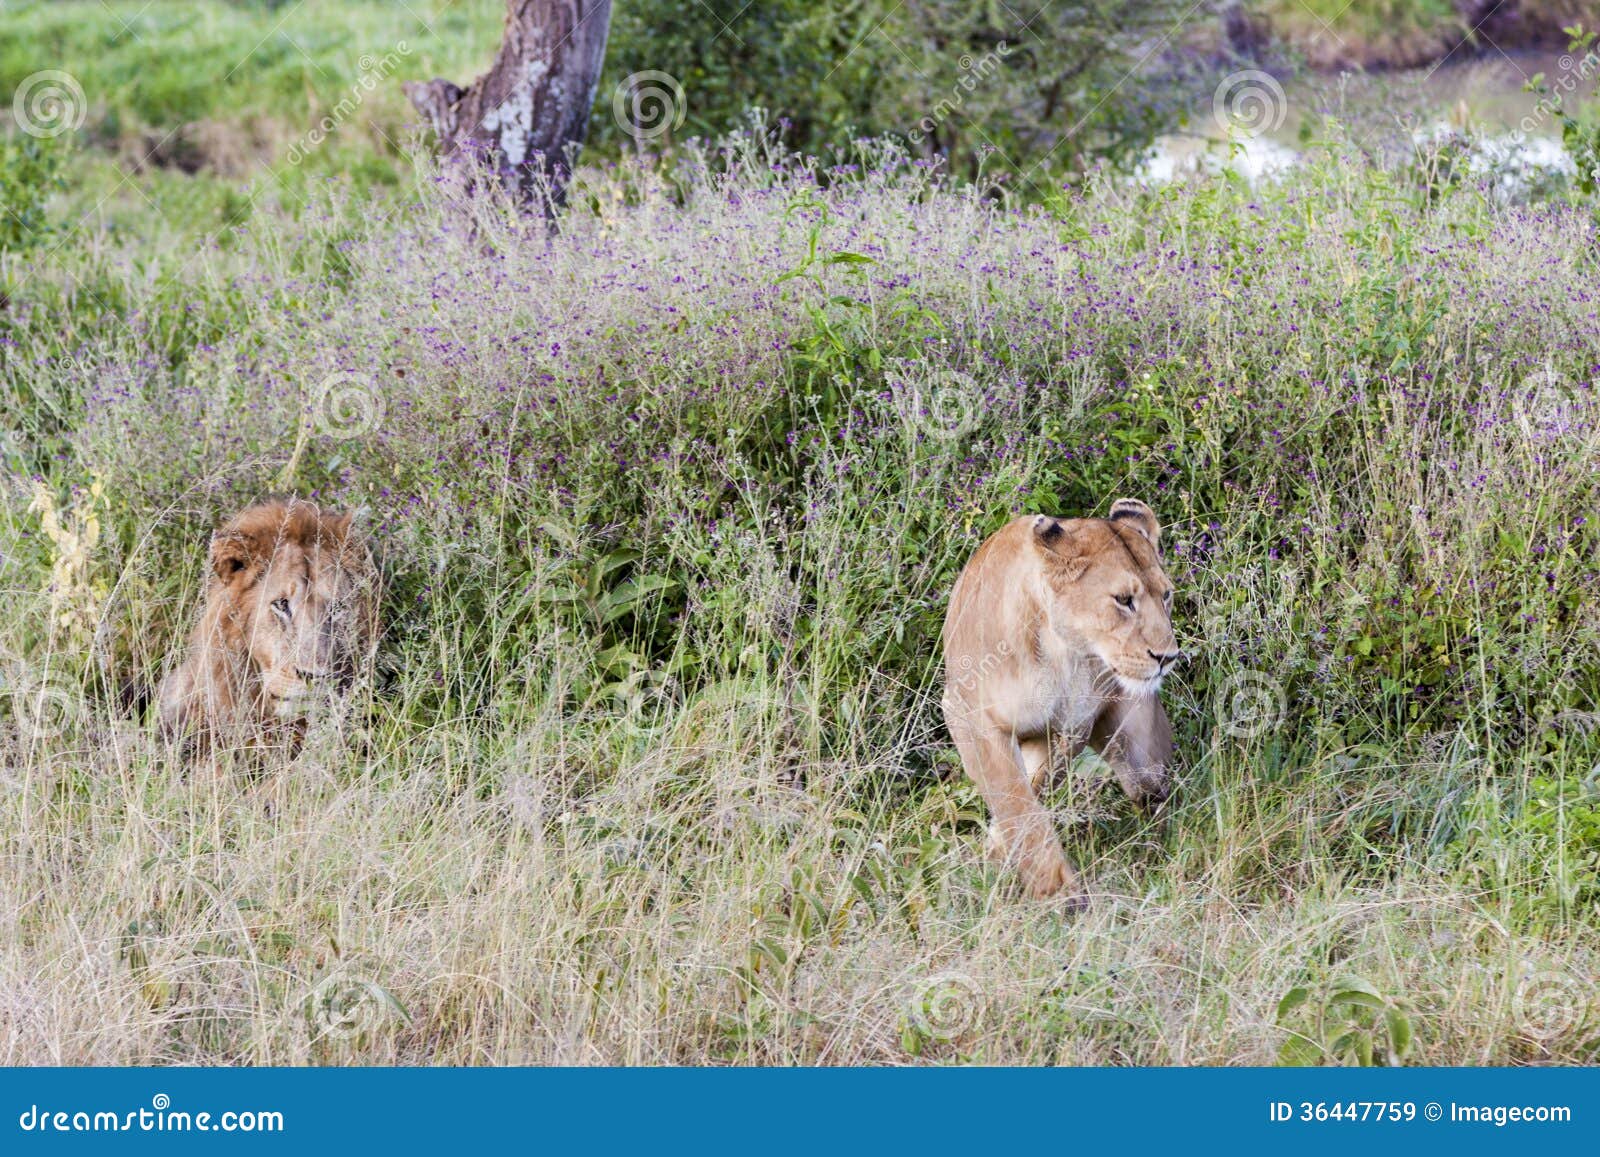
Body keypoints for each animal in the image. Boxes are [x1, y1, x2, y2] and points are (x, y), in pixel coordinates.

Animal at [941, 498, 1181, 902]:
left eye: (1165, 595)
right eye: (1124, 600)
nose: (1167, 657)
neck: (1057, 651)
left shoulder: (1069, 729)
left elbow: (1029, 796)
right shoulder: (969, 716)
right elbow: (1015, 801)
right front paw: (1057, 892)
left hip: (1144, 764)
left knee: (1154, 798)